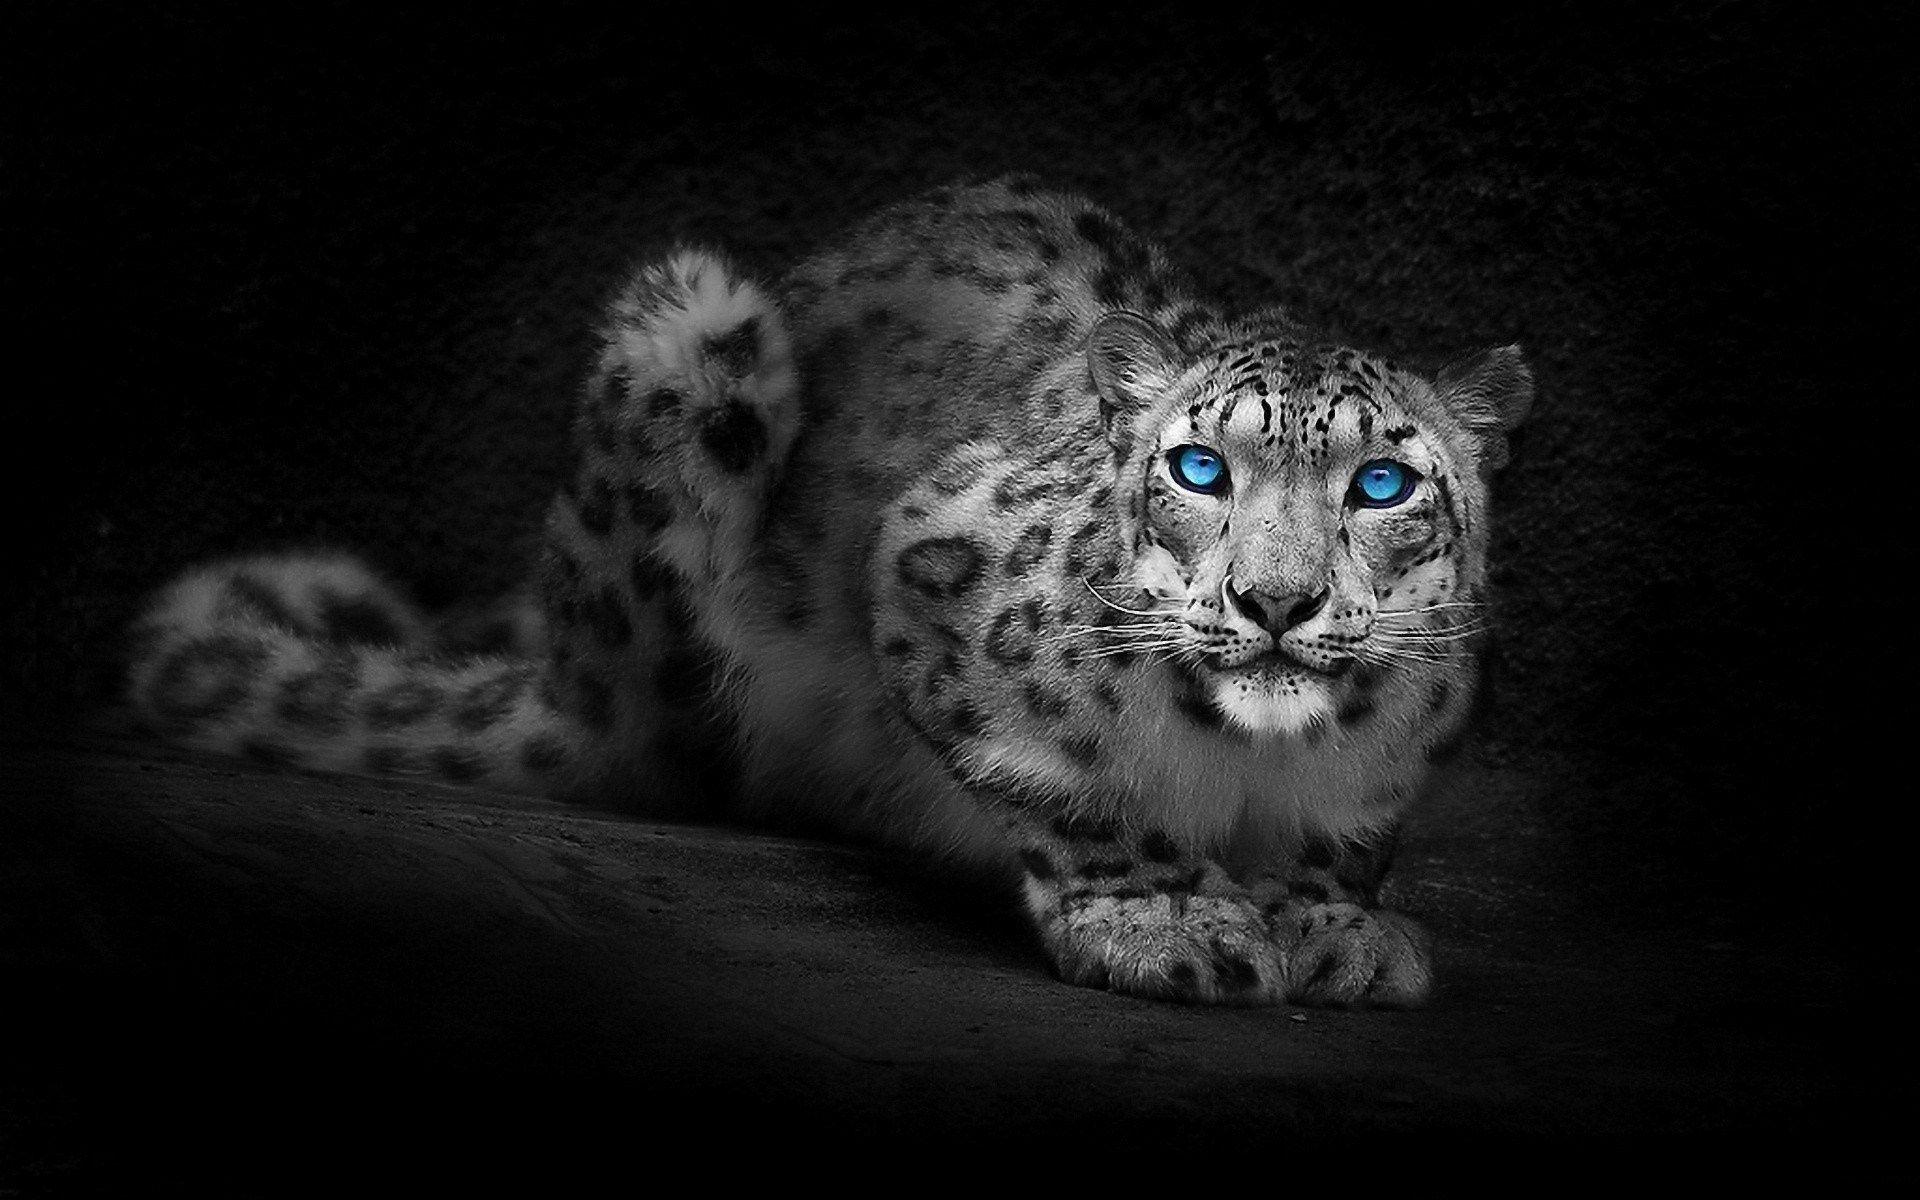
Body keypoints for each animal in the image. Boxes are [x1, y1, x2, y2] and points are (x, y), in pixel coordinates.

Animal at [127, 176, 1532, 1007]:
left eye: (1384, 484)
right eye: (1199, 465)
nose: (1274, 602)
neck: (1254, 763)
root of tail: (569, 678)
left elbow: (1349, 837)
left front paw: (1335, 926)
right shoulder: (931, 567)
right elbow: (1067, 787)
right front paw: (1166, 916)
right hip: (691, 344)